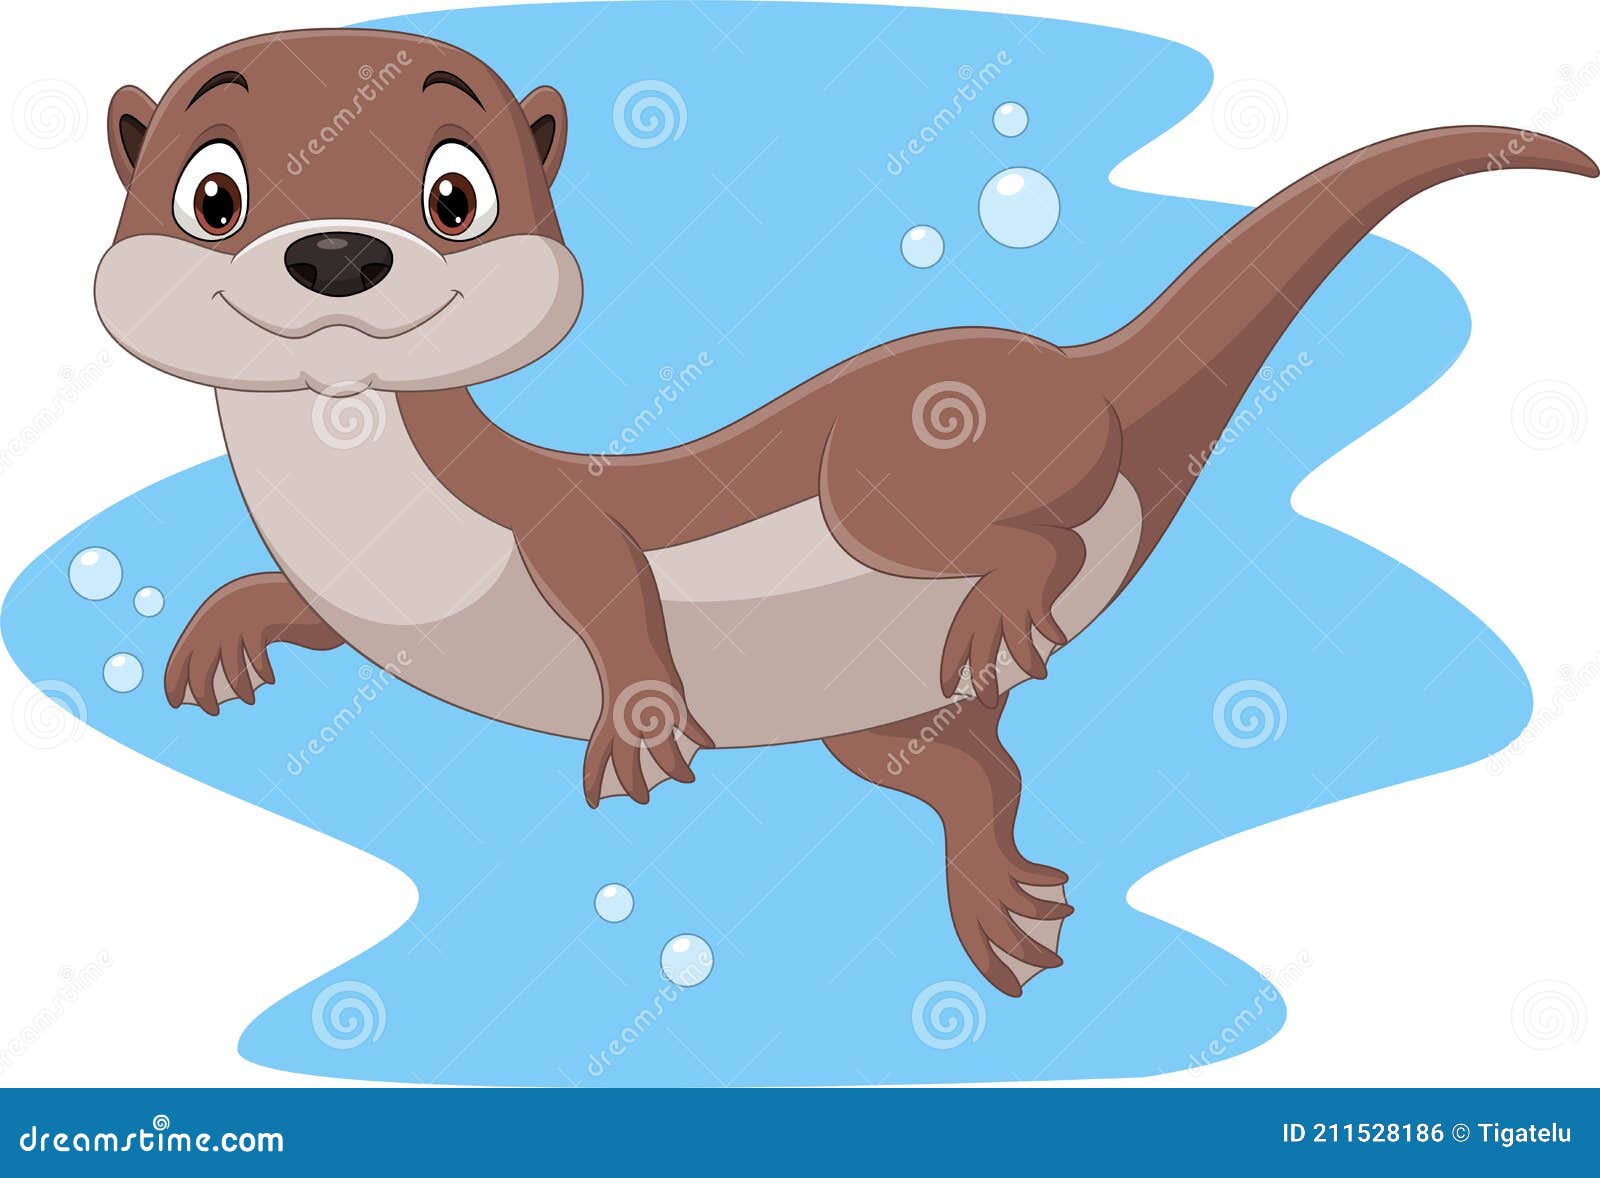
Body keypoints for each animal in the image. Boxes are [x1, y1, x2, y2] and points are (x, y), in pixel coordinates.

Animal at [93, 29, 1595, 996]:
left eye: (452, 191)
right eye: (213, 190)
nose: (338, 254)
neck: (378, 512)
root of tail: (1079, 363)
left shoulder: (546, 518)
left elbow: (606, 570)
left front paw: (638, 724)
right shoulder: (355, 590)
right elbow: (290, 599)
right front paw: (219, 635)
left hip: (902, 465)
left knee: (1025, 536)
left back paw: (1007, 602)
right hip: (879, 709)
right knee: (975, 766)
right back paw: (1002, 902)